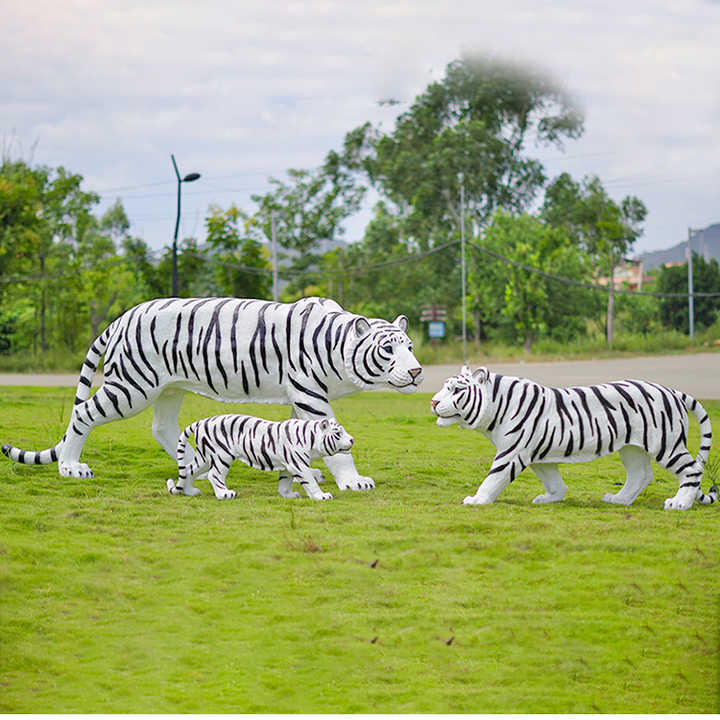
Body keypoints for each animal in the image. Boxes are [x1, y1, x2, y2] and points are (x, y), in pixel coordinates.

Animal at [165, 414, 354, 501]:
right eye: (338, 433)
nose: (352, 439)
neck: (312, 439)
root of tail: (202, 421)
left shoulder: (288, 465)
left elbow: (285, 482)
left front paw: (288, 495)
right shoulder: (298, 465)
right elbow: (310, 481)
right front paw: (321, 496)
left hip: (205, 456)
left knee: (188, 469)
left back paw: (189, 492)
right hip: (222, 455)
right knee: (214, 475)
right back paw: (224, 494)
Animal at [431, 366, 717, 511]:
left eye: (455, 390)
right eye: (444, 387)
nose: (433, 402)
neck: (494, 408)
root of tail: (672, 390)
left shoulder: (511, 453)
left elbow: (492, 478)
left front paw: (476, 500)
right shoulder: (537, 454)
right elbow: (553, 480)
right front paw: (551, 497)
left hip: (665, 444)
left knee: (691, 470)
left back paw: (679, 503)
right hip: (632, 448)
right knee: (641, 475)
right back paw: (619, 500)